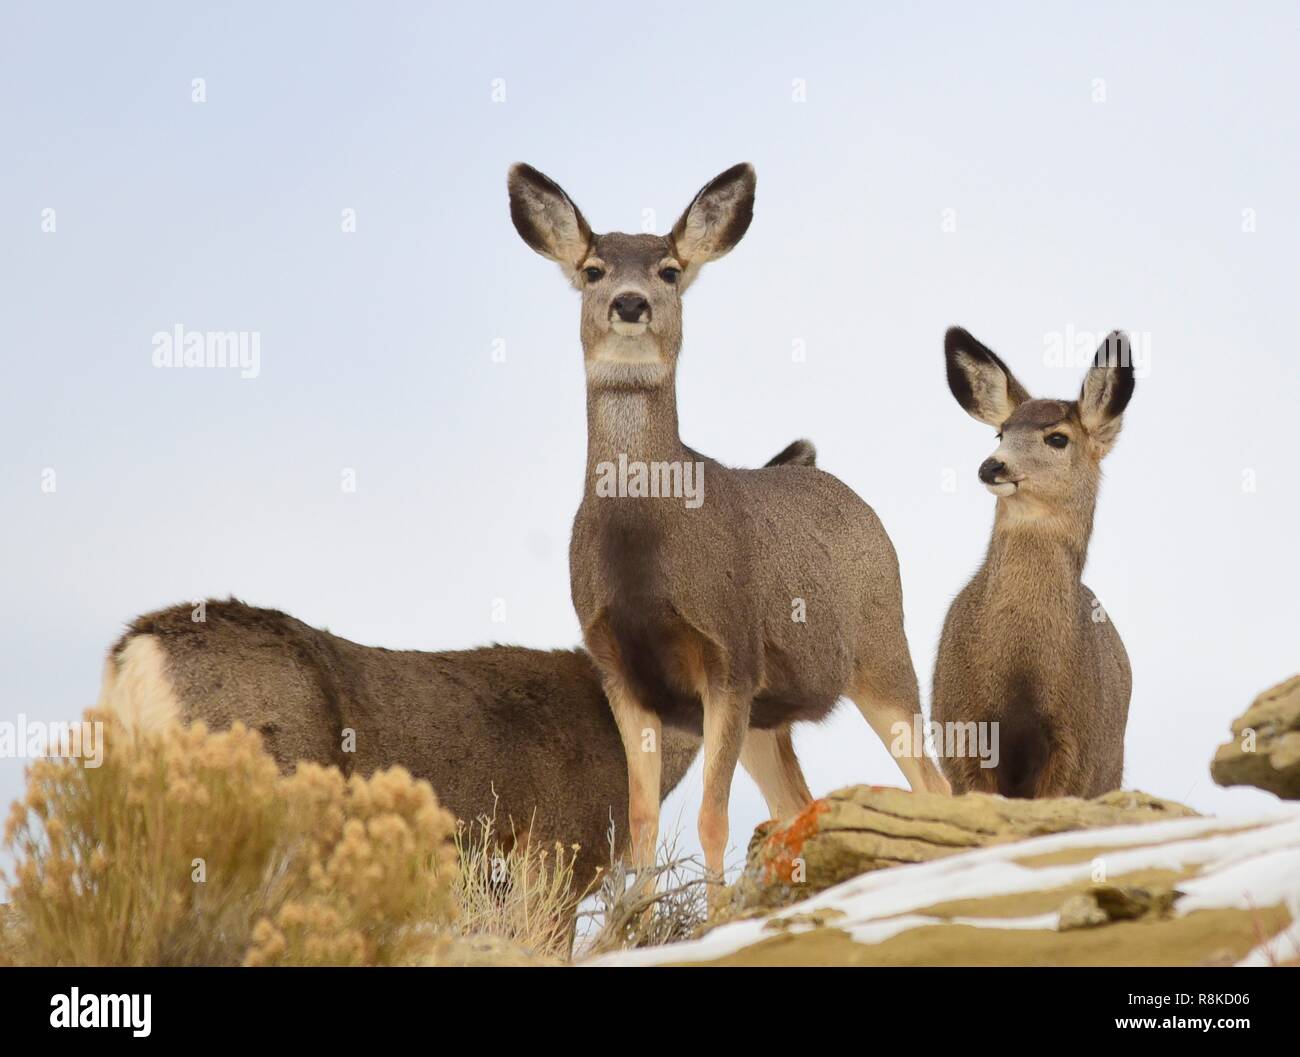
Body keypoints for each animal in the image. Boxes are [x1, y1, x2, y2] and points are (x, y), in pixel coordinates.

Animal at [507, 161, 950, 904]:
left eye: (669, 269)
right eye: (594, 269)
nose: (631, 303)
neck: (643, 551)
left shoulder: (731, 654)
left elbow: (711, 816)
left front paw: (710, 912)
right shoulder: (619, 667)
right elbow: (642, 817)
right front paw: (638, 914)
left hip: (883, 651)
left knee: (932, 782)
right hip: (774, 717)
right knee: (795, 801)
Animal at [933, 326, 1135, 798]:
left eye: (1057, 437)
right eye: (1000, 434)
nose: (992, 467)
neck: (1019, 670)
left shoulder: (1077, 744)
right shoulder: (959, 727)